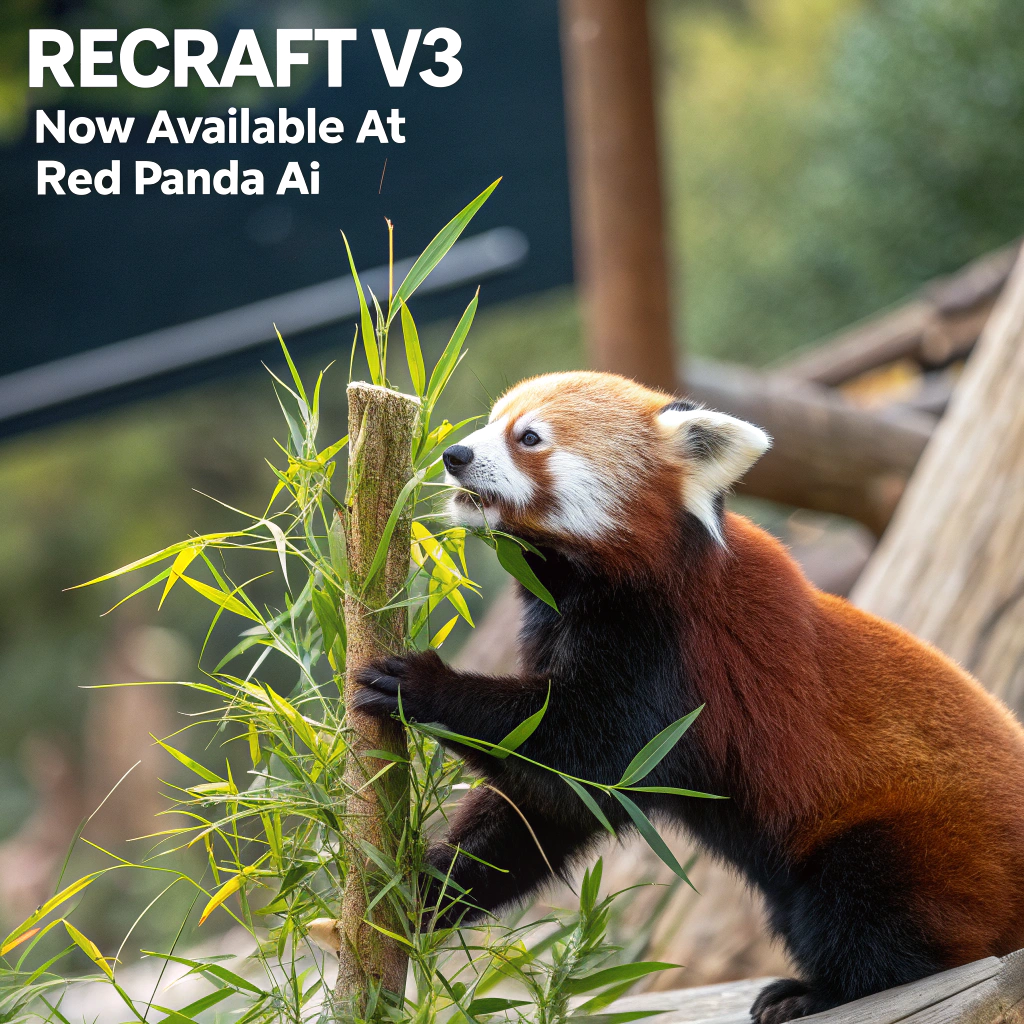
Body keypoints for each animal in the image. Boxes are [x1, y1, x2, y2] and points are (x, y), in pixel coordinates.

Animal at [353, 370, 1024, 1024]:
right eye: (492, 422)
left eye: (529, 438)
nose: (455, 455)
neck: (593, 580)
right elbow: (546, 811)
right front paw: (419, 889)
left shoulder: (672, 651)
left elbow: (585, 755)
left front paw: (423, 686)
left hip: (917, 839)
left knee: (866, 908)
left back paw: (821, 993)